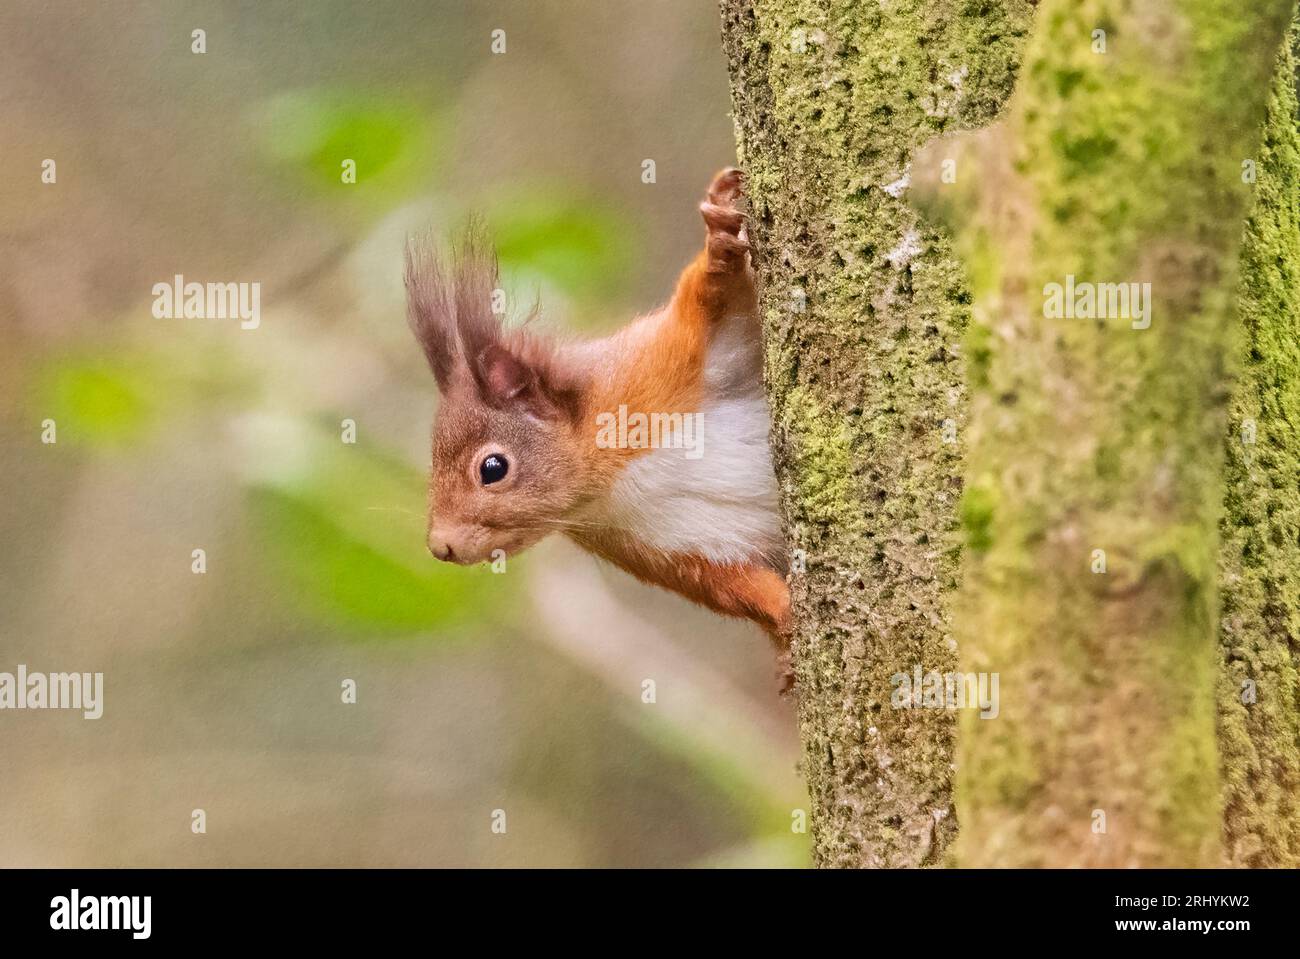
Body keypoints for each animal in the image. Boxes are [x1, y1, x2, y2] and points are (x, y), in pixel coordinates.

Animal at [405, 169, 792, 688]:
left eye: (492, 468)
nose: (440, 547)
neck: (606, 482)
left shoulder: (657, 366)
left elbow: (709, 301)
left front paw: (719, 241)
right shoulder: (669, 551)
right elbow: (738, 588)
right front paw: (787, 621)